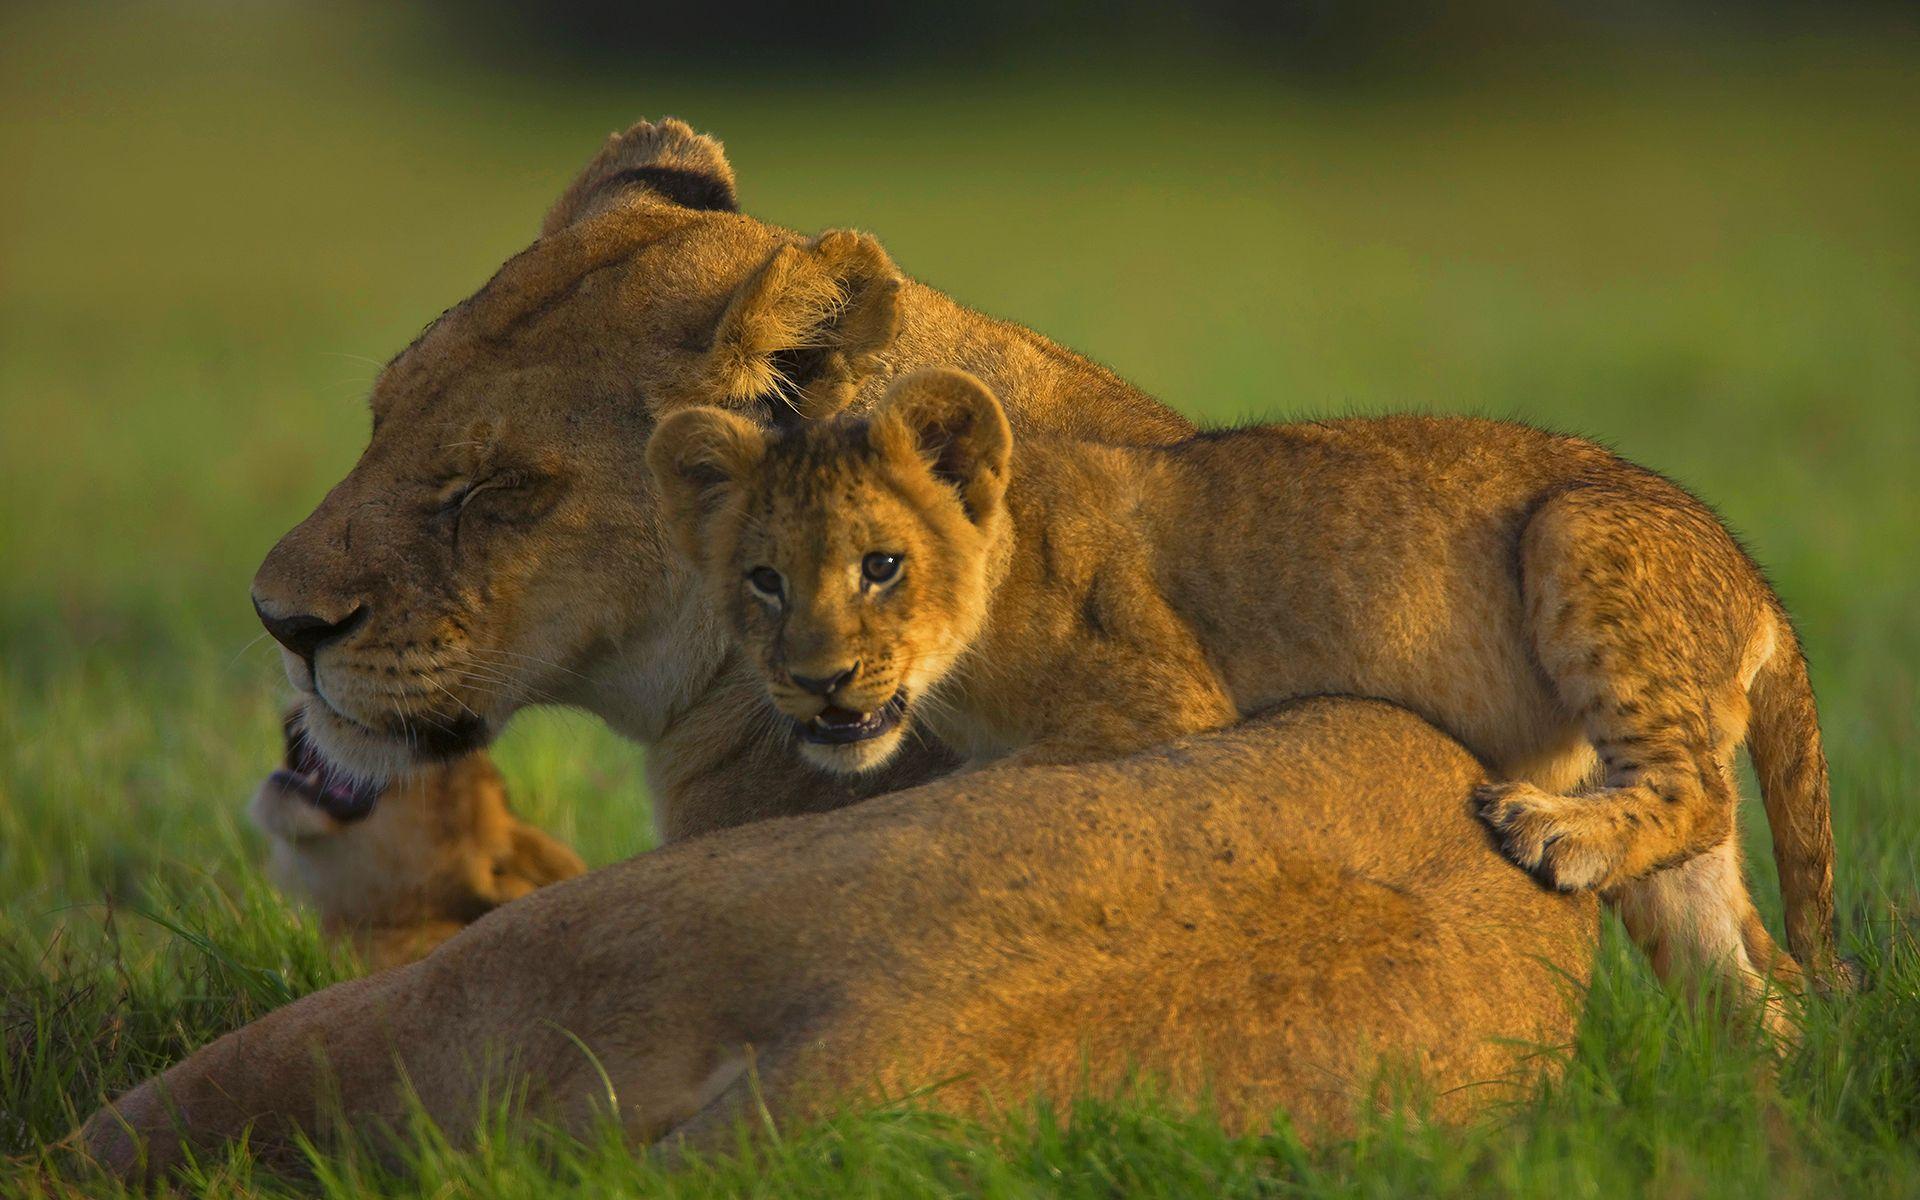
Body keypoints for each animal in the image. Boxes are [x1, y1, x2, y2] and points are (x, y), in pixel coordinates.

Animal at [649, 367, 1845, 1018]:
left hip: (1576, 529)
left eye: (882, 566)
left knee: (1702, 794)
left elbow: (997, 776)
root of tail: (1757, 581)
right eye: (763, 580)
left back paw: (1552, 831)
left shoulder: (1165, 704)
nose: (816, 685)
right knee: (1756, 974)